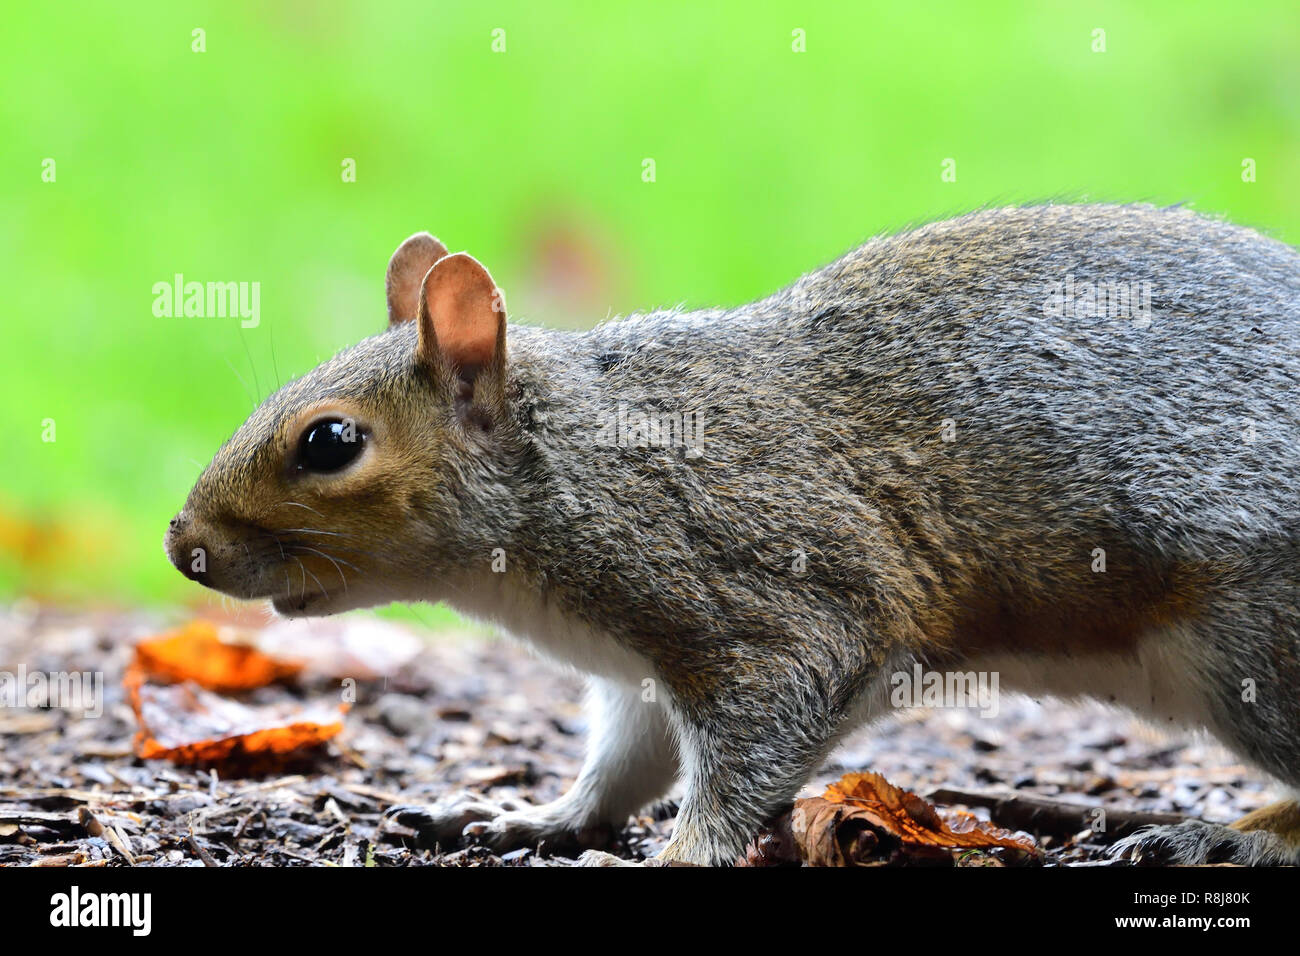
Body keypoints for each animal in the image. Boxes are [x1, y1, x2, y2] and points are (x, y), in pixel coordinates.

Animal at [166, 203, 1300, 866]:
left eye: (329, 442)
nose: (184, 546)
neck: (578, 465)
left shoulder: (763, 593)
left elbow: (757, 736)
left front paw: (682, 852)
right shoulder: (637, 672)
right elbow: (626, 759)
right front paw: (543, 818)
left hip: (1254, 645)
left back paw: (1227, 836)